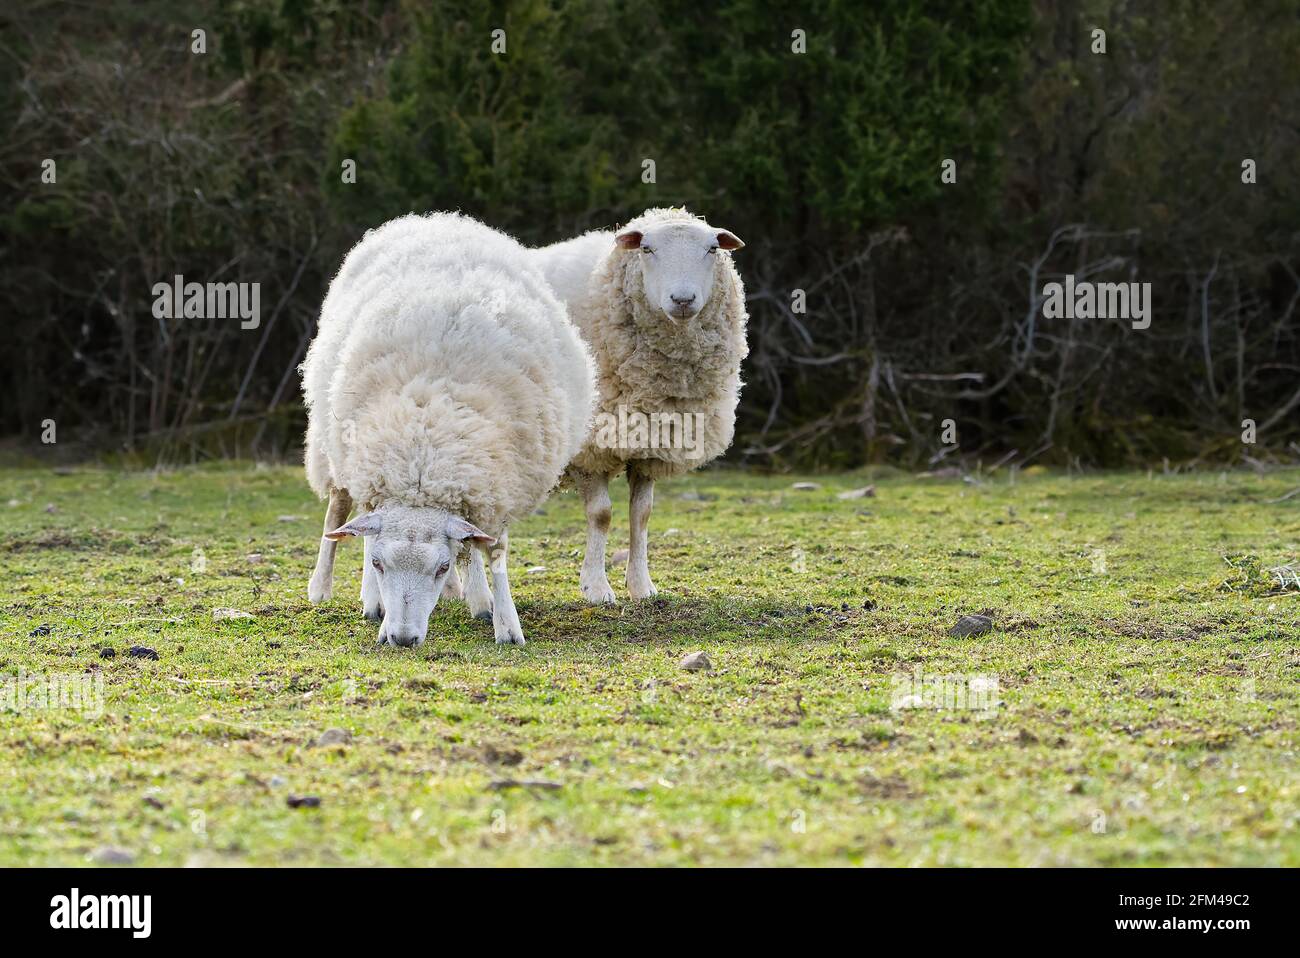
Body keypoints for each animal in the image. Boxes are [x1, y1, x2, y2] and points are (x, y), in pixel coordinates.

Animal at [301, 211, 595, 647]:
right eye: (380, 564)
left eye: (439, 568)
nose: (404, 639)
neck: (423, 454)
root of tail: (434, 219)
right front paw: (380, 611)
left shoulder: (497, 486)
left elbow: (493, 552)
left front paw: (504, 621)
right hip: (336, 449)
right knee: (337, 514)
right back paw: (328, 590)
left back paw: (472, 596)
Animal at [527, 207, 748, 603]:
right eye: (646, 249)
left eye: (712, 248)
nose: (682, 299)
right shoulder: (589, 446)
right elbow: (601, 514)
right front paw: (596, 587)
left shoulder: (652, 441)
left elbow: (641, 514)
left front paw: (641, 586)